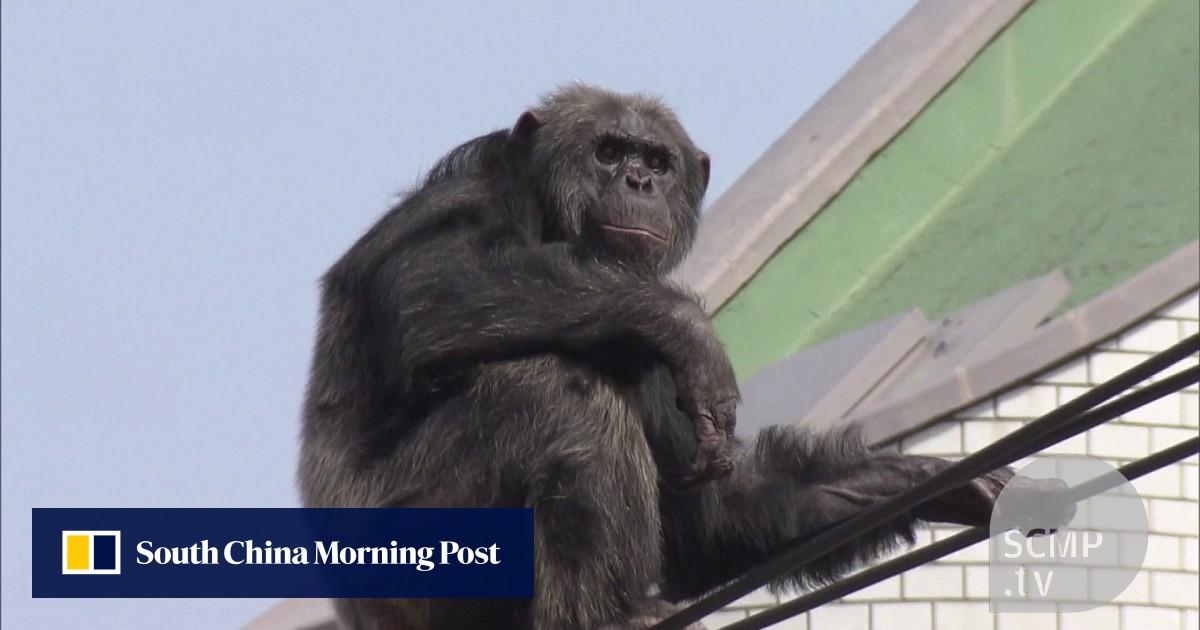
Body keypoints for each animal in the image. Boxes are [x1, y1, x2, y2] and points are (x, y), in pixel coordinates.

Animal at [298, 84, 1050, 629]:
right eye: (608, 150)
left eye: (656, 160)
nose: (637, 181)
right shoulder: (470, 195)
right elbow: (430, 289)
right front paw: (684, 327)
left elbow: (713, 522)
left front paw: (938, 479)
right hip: (408, 560)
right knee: (554, 392)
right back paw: (608, 615)